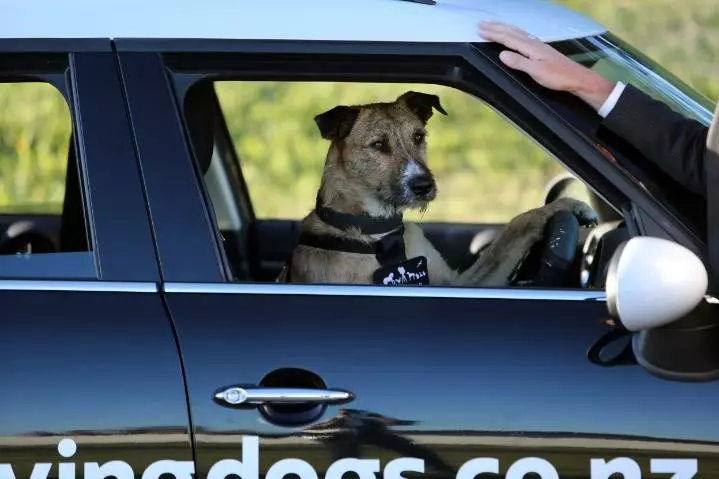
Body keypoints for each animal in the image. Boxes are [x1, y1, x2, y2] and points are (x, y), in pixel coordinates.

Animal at [278, 90, 600, 286]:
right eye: (378, 145)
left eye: (418, 136)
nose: (424, 186)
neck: (378, 233)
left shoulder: (460, 282)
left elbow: (513, 230)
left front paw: (566, 206)